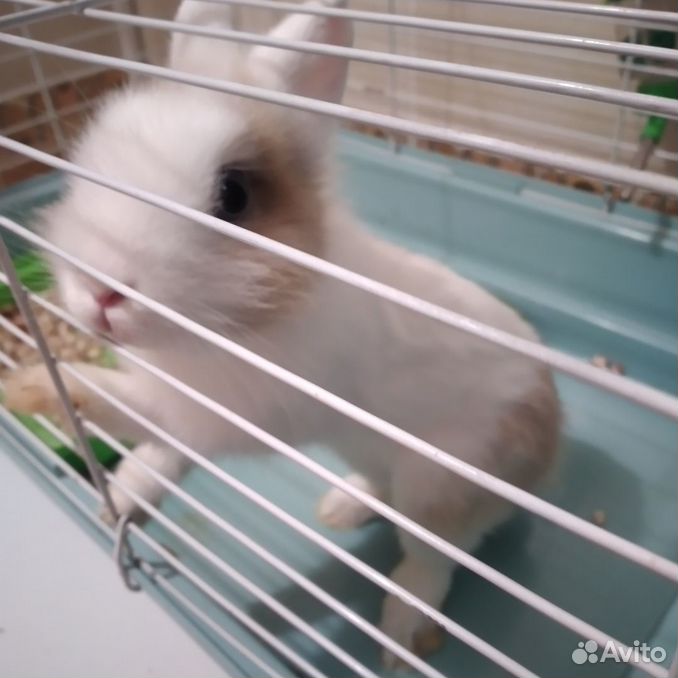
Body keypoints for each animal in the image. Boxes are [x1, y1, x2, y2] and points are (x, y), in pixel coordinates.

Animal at [3, 0, 561, 667]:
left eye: (234, 194)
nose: (100, 291)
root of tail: (554, 437)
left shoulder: (228, 414)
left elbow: (141, 411)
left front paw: (40, 387)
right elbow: (158, 452)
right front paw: (120, 492)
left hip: (440, 488)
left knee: (432, 562)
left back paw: (399, 635)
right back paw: (341, 506)